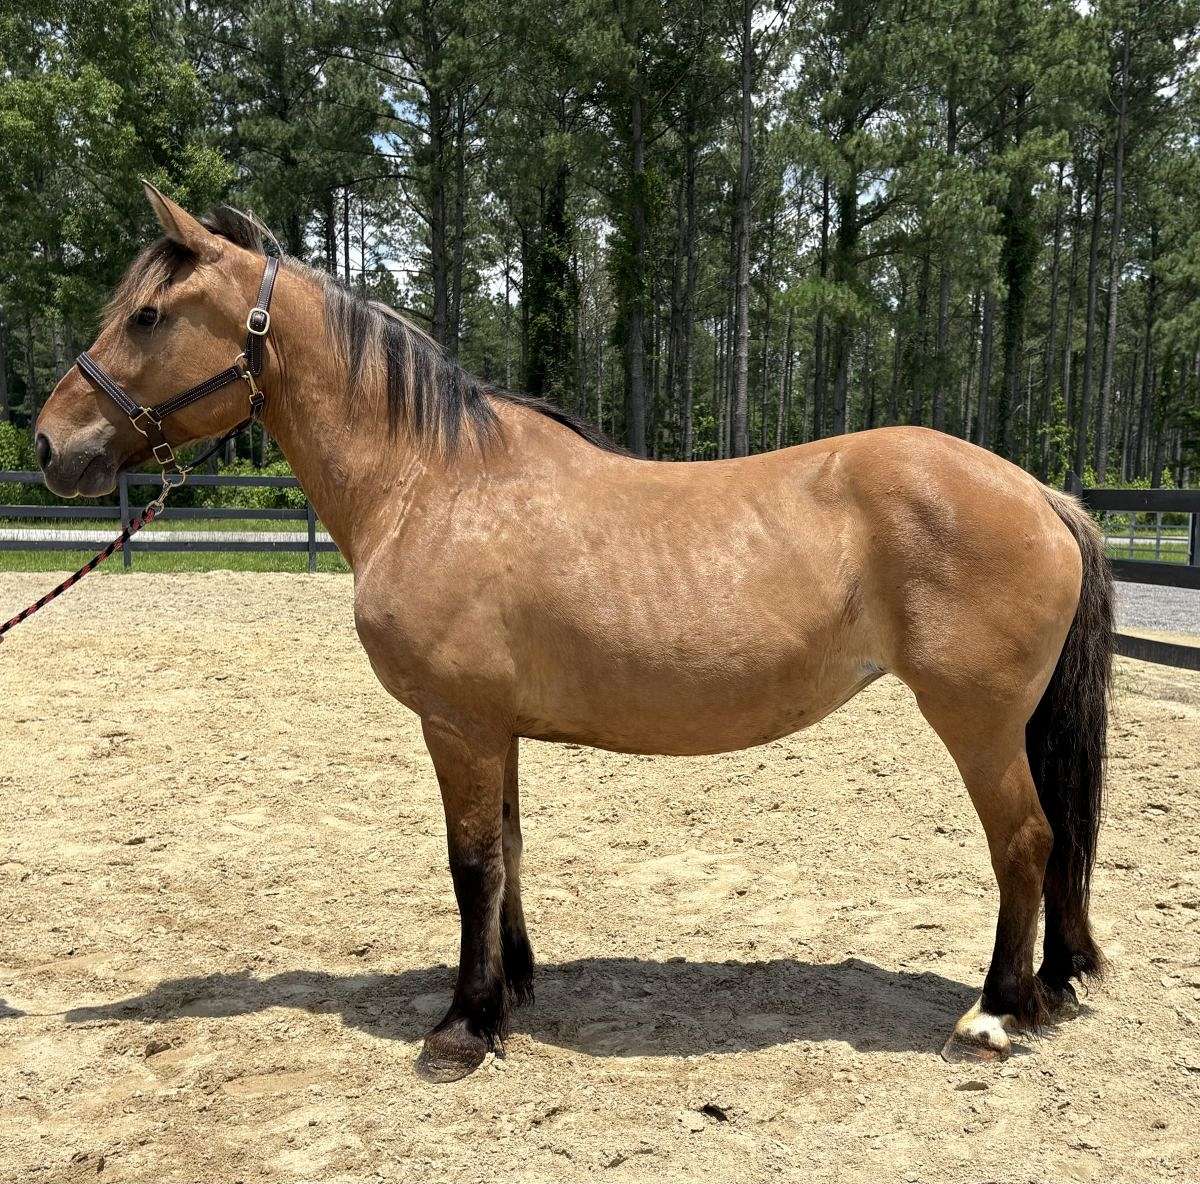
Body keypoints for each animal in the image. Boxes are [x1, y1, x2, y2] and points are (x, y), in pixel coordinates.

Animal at [34, 185, 1112, 1082]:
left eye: (145, 315)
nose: (49, 444)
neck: (432, 482)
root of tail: (1041, 493)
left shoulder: (457, 724)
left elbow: (471, 863)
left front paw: (462, 1027)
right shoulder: (493, 728)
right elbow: (508, 850)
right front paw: (510, 987)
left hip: (977, 722)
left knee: (1025, 841)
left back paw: (994, 1013)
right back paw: (1049, 988)